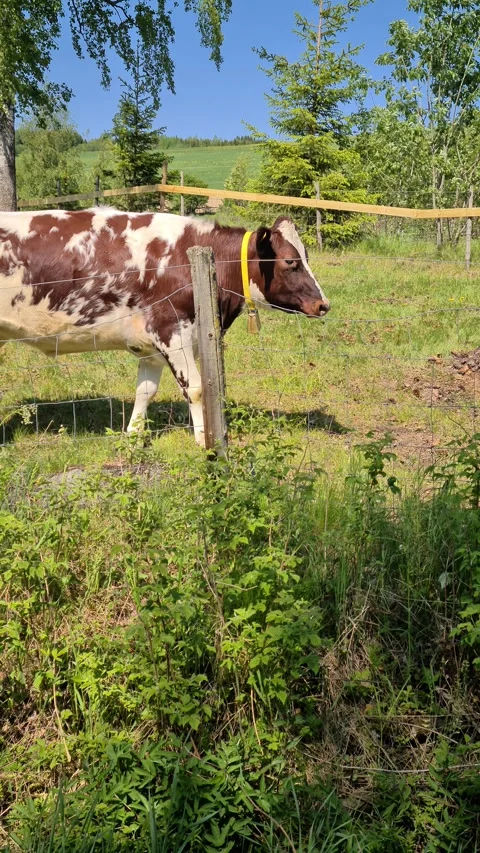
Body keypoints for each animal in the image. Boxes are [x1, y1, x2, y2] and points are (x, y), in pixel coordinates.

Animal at [0, 209, 329, 445]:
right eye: (290, 261)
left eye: (306, 256)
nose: (323, 304)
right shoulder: (172, 330)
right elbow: (195, 388)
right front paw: (205, 441)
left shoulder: (150, 344)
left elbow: (145, 390)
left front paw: (133, 436)